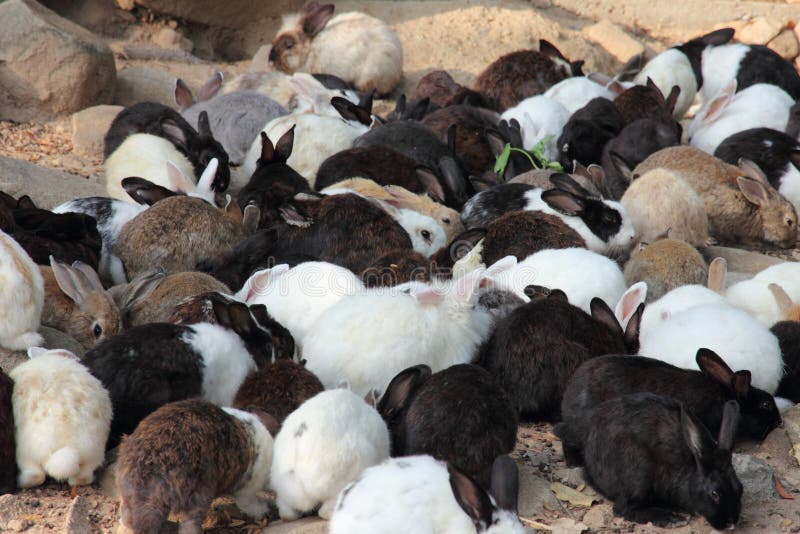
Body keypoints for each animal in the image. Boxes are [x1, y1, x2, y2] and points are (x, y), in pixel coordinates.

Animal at [10, 347, 112, 488]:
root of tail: (68, 447)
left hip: (26, 453)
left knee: (36, 476)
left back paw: (20, 482)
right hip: (93, 455)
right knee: (82, 478)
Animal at [116, 399, 275, 534]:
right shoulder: (248, 489)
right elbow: (248, 503)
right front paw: (262, 510)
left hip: (128, 497)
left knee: (126, 518)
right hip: (198, 494)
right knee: (189, 525)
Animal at [555, 394, 742, 529]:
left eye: (740, 489)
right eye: (715, 494)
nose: (730, 522)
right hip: (639, 471)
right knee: (623, 508)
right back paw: (670, 518)